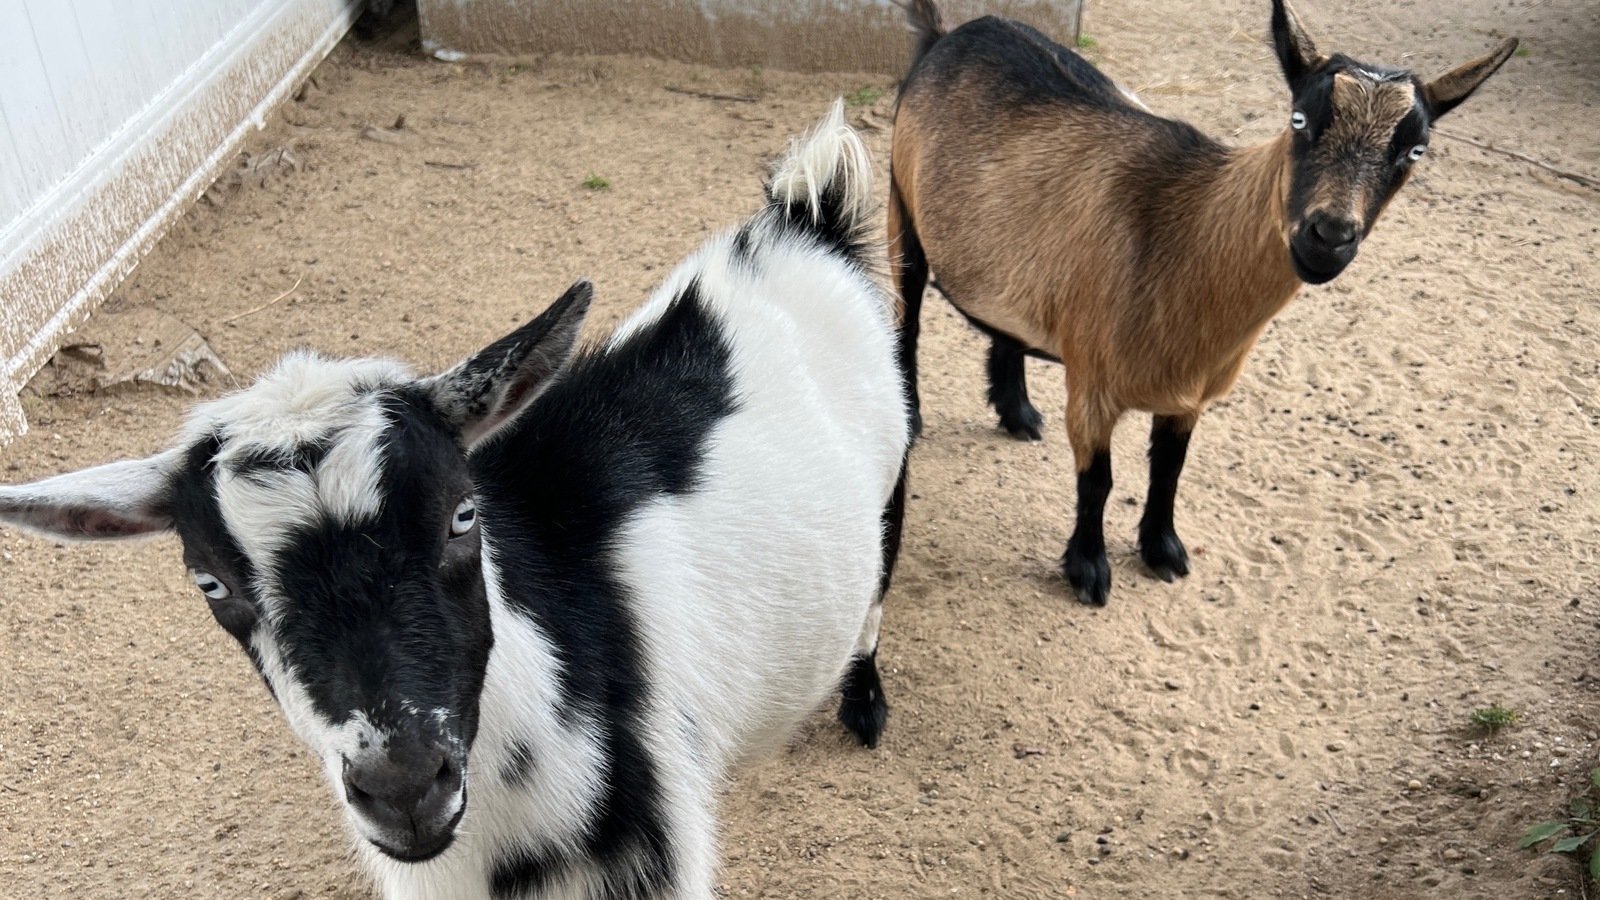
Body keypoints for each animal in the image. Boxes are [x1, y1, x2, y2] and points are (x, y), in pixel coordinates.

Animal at [889, 0, 1516, 605]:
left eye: (1414, 150)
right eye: (1299, 120)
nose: (1329, 236)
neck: (1183, 237)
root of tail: (953, 33)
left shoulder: (1189, 393)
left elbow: (1169, 470)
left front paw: (1162, 550)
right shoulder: (1092, 382)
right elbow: (1098, 480)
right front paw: (1088, 569)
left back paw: (1017, 411)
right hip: (903, 205)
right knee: (908, 315)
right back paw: (912, 416)